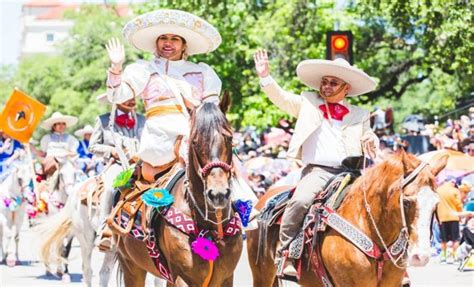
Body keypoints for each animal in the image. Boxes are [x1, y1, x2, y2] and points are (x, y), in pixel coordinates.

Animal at [116, 95, 243, 287]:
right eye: (195, 142)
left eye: (229, 138)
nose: (218, 194)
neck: (210, 228)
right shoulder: (182, 278)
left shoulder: (226, 277)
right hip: (131, 266)